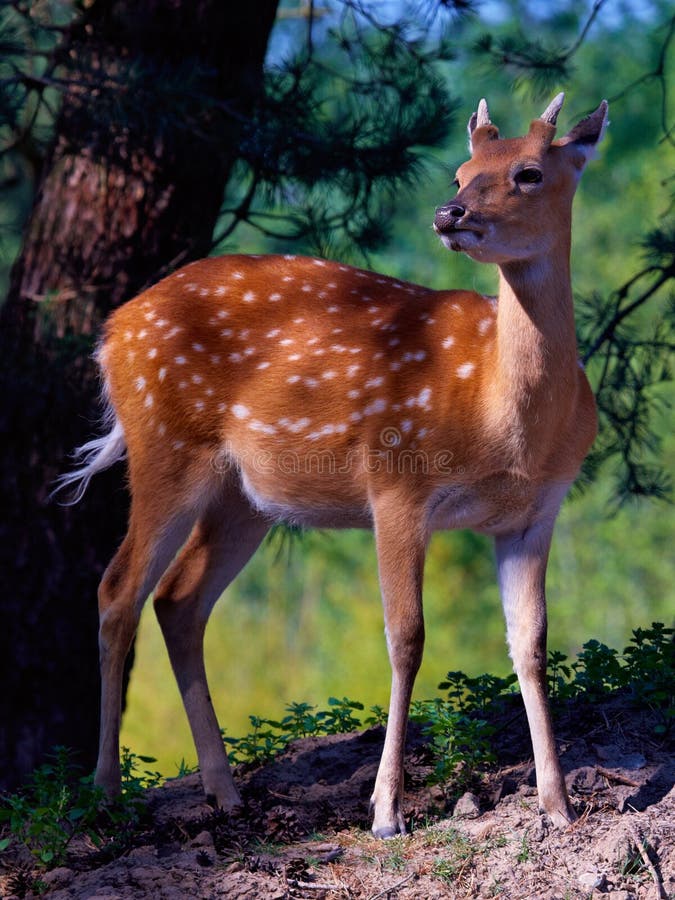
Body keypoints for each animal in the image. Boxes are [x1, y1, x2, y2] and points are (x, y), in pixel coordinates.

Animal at [58, 93, 608, 838]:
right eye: (461, 171)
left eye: (528, 172)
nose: (449, 213)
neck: (501, 418)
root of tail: (112, 330)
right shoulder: (397, 480)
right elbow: (407, 637)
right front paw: (385, 811)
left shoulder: (534, 513)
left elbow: (531, 642)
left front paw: (558, 805)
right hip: (163, 444)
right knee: (118, 589)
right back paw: (106, 792)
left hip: (244, 497)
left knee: (178, 598)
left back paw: (224, 791)